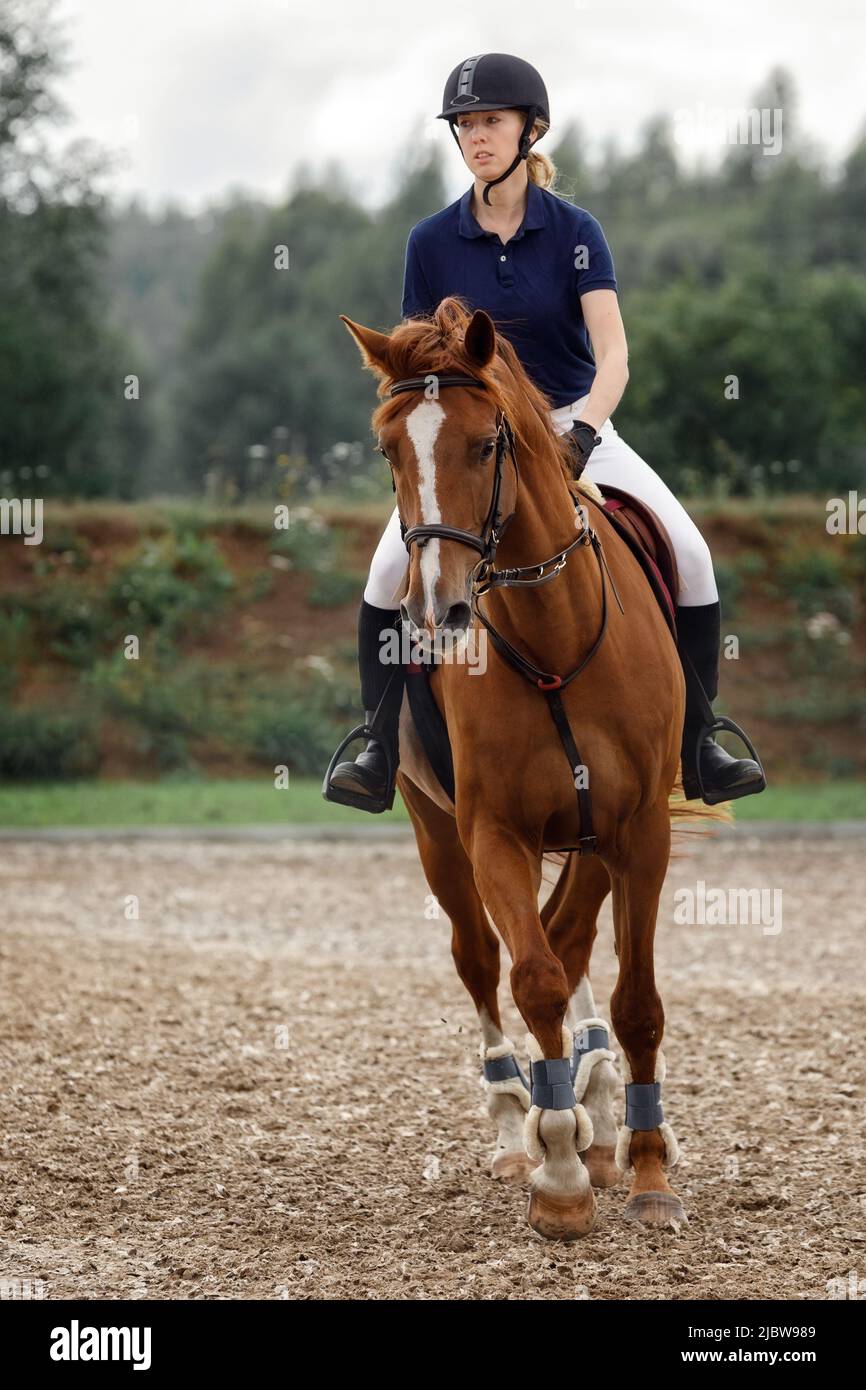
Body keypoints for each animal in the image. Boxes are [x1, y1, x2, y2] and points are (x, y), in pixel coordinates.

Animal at [338, 295, 721, 1240]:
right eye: (389, 450)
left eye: (486, 444)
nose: (436, 613)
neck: (554, 633)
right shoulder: (495, 833)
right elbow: (535, 977)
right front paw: (557, 1173)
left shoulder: (635, 831)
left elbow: (632, 998)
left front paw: (647, 1169)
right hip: (435, 829)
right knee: (482, 960)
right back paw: (522, 1122)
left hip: (588, 836)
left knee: (571, 940)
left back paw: (600, 1107)